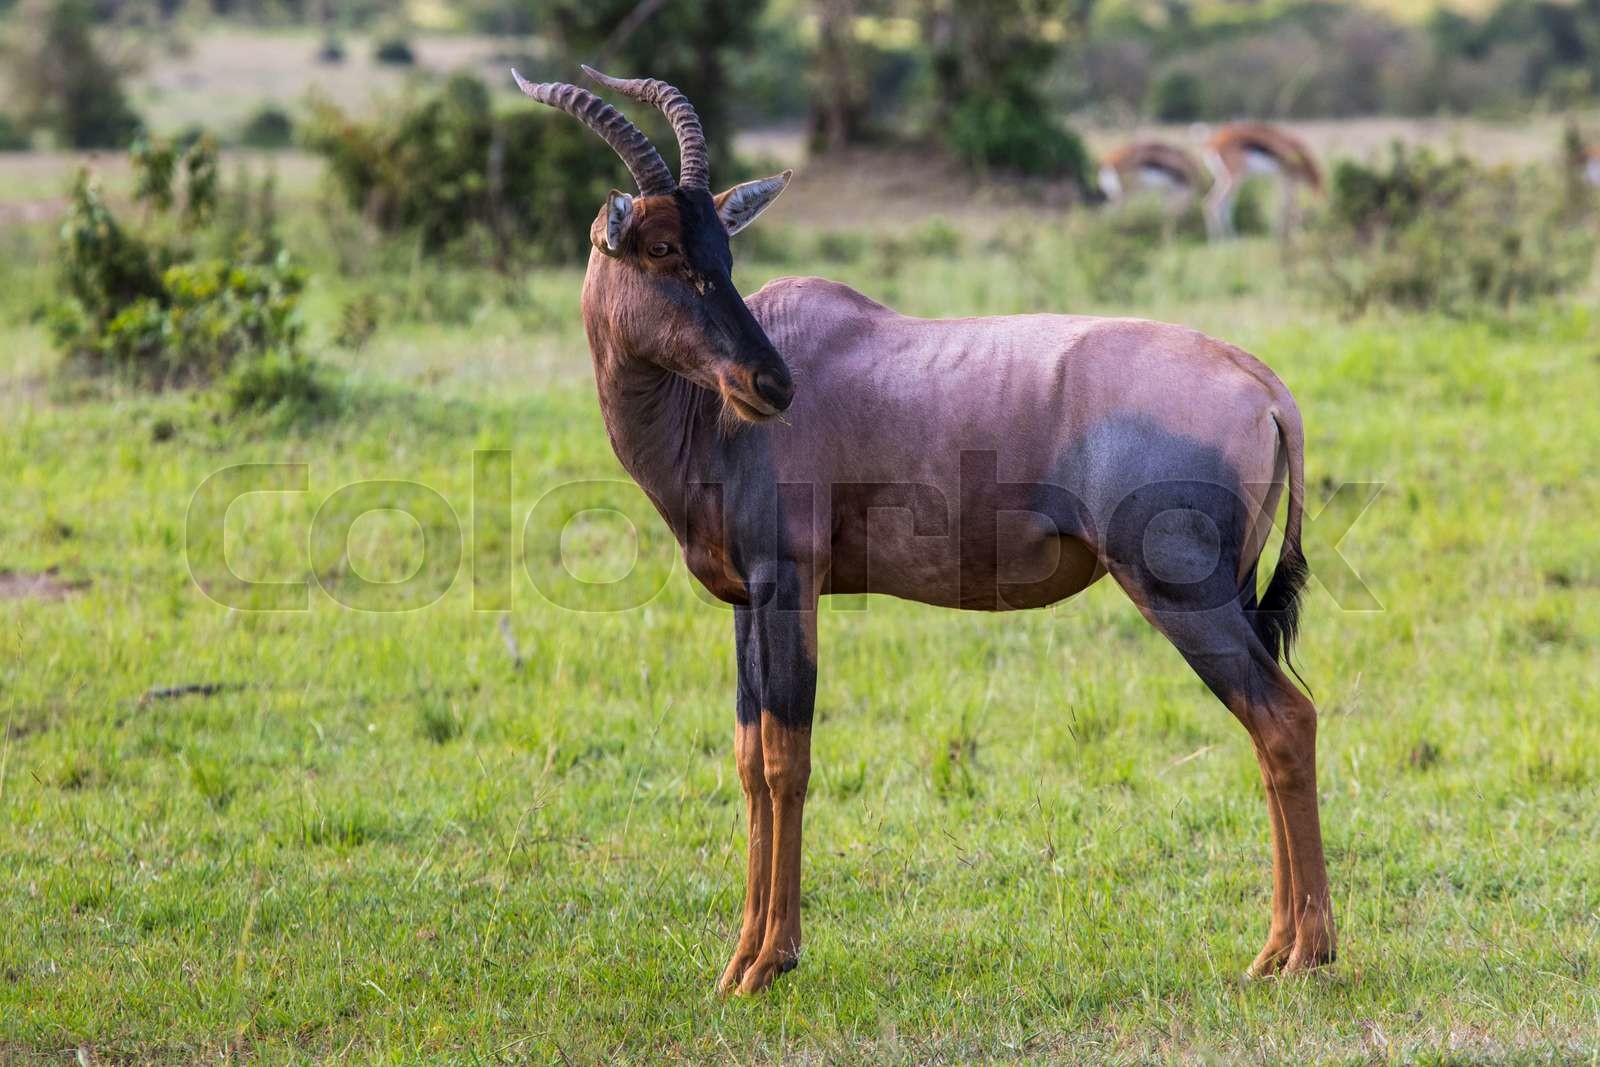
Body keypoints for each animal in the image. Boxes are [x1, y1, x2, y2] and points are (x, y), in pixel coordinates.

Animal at [514, 67, 1337, 995]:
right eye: (663, 249)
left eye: (722, 252)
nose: (772, 385)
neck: (711, 421)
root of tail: (1260, 379)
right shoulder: (744, 597)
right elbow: (748, 755)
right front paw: (736, 962)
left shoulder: (789, 581)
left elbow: (787, 757)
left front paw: (768, 961)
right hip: (1230, 587)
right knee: (1267, 730)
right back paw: (1272, 950)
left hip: (1181, 590)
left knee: (1285, 720)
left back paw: (1305, 953)